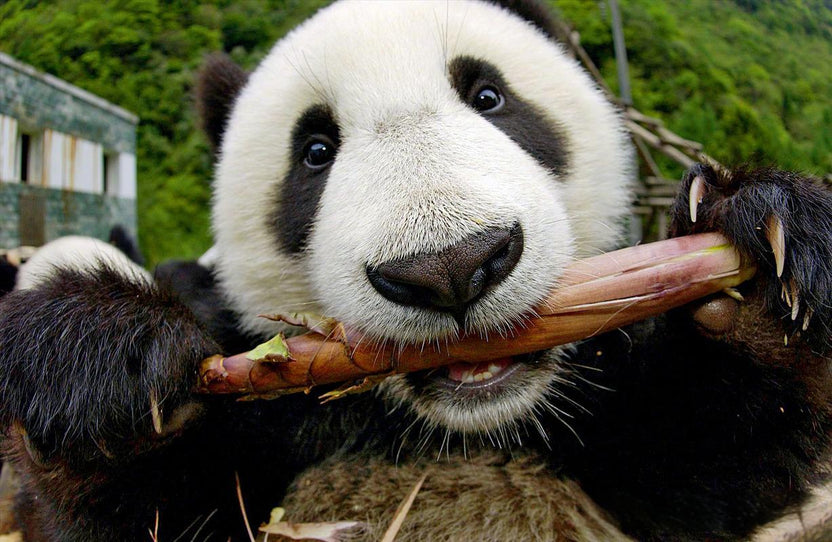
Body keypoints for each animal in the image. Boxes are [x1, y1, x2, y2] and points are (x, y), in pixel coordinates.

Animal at [1, 1, 831, 540]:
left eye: (489, 96)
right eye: (315, 151)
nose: (451, 266)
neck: (460, 433)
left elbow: (702, 467)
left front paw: (764, 265)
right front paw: (102, 370)